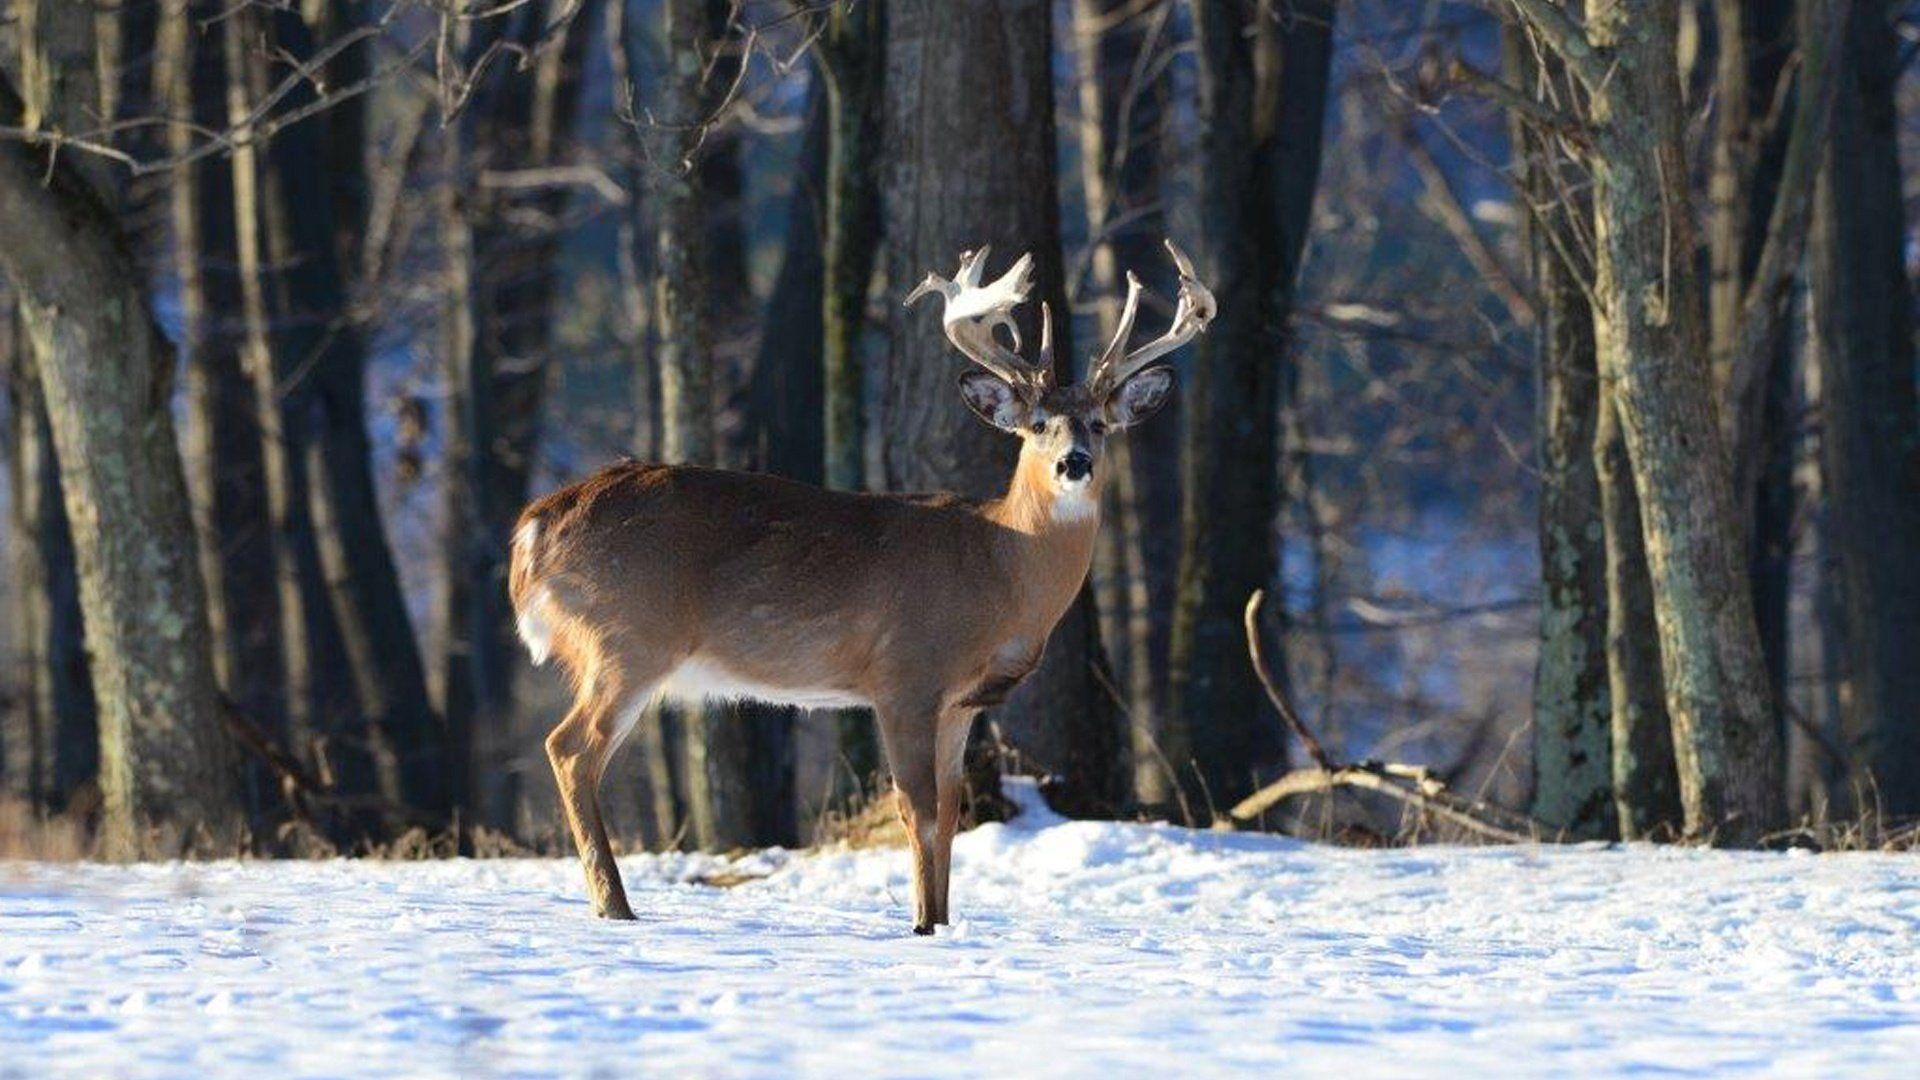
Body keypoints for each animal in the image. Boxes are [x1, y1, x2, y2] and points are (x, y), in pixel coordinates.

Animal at [508, 240, 1214, 934]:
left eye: (1099, 423)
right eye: (1038, 424)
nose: (1075, 463)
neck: (1000, 563)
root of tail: (535, 524)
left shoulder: (960, 703)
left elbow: (951, 813)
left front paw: (943, 920)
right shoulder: (904, 675)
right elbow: (917, 809)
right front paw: (921, 926)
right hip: (626, 640)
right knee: (568, 749)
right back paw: (616, 905)